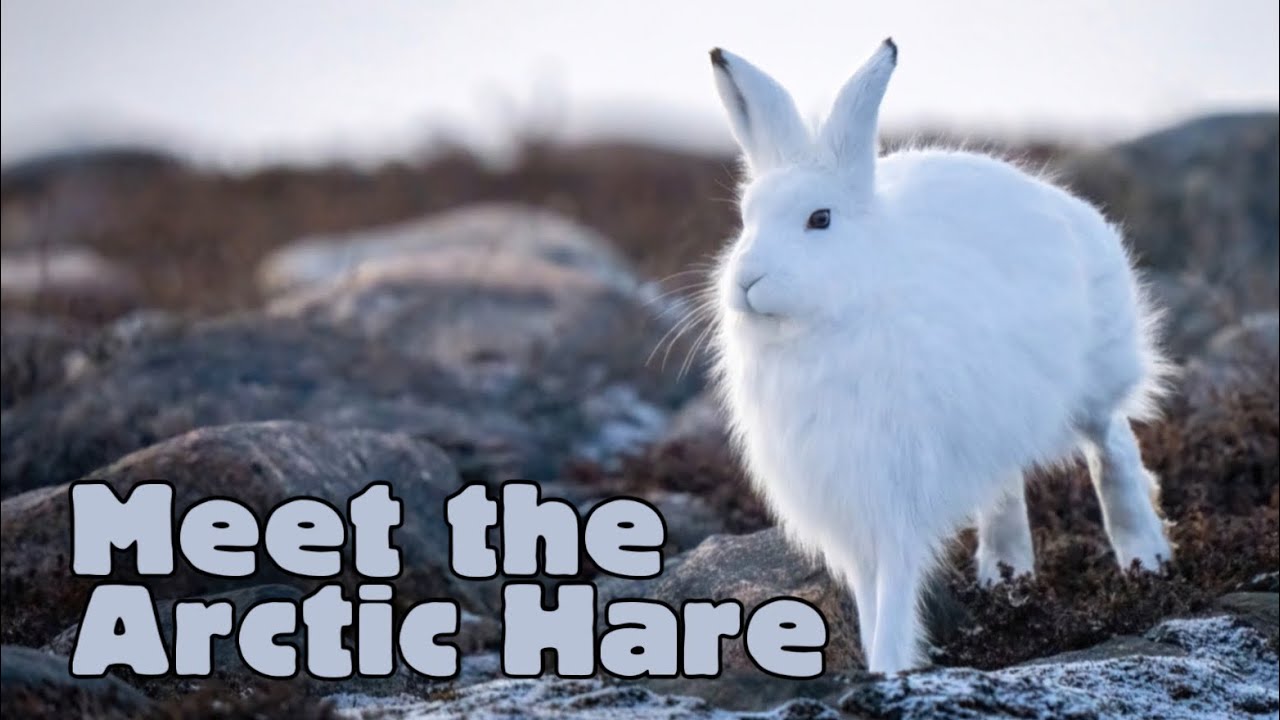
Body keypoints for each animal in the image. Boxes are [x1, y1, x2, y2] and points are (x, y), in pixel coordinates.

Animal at [705, 39, 1174, 674]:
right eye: (745, 219)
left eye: (819, 219)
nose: (747, 280)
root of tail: (1070, 208)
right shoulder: (846, 503)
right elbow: (866, 592)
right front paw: (877, 662)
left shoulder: (894, 488)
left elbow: (895, 586)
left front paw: (885, 667)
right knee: (1005, 485)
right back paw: (1007, 577)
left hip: (1094, 382)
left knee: (1114, 448)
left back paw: (1146, 560)